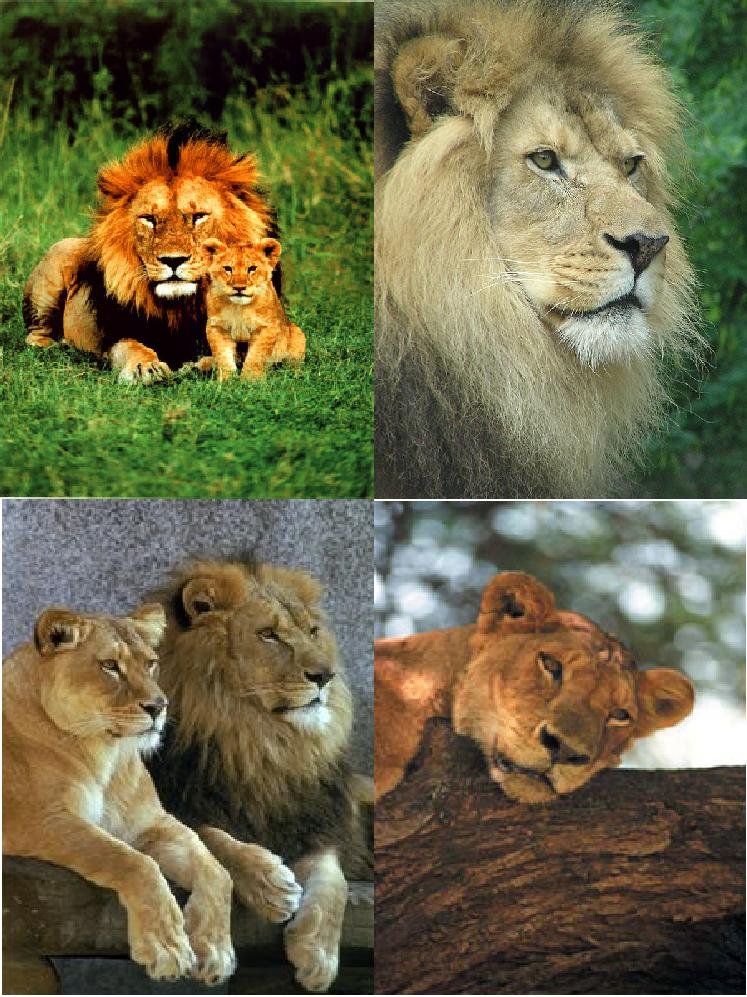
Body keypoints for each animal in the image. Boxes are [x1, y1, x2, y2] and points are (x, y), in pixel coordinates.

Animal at [2, 603, 241, 984]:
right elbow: (130, 860)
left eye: (151, 663)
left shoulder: (152, 823)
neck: (103, 753)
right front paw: (166, 946)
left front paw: (216, 950)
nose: (159, 706)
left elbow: (215, 870)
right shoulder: (40, 821)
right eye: (110, 666)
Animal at [22, 121, 278, 384]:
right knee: (36, 334)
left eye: (198, 217)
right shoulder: (116, 334)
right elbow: (130, 346)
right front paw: (145, 367)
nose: (173, 260)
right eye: (149, 219)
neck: (178, 308)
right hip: (55, 263)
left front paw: (203, 366)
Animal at [143, 559, 371, 993]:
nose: (326, 675)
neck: (261, 746)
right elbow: (214, 837)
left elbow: (334, 878)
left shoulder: (316, 825)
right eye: (269, 635)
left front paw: (319, 953)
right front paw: (270, 886)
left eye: (313, 631)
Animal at [197, 237, 306, 380]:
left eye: (252, 268)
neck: (238, 308)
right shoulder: (217, 327)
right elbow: (223, 356)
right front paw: (226, 380)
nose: (239, 287)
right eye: (227, 268)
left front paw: (250, 380)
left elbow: (256, 355)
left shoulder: (266, 327)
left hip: (297, 334)